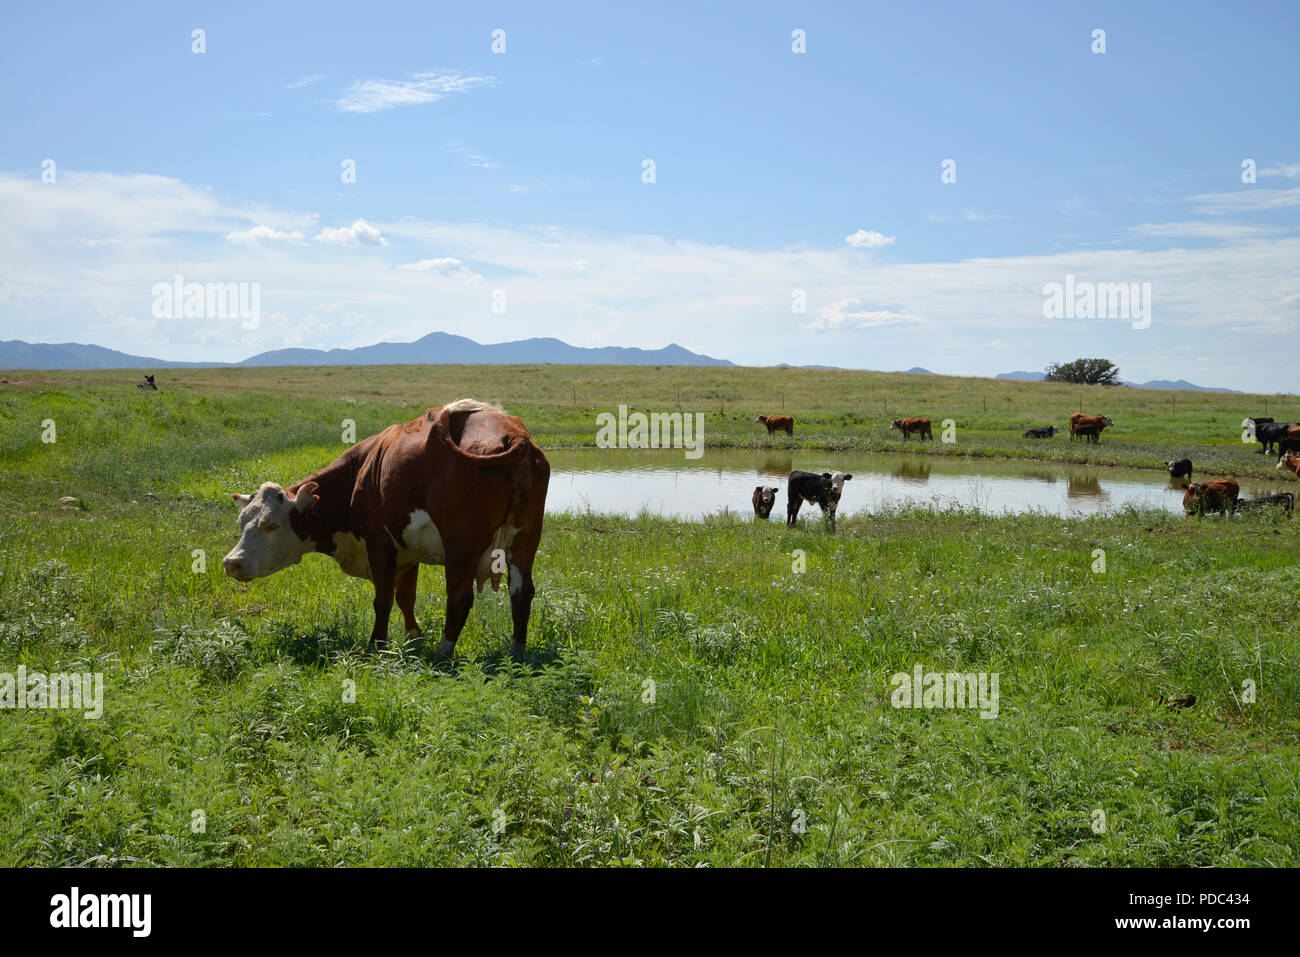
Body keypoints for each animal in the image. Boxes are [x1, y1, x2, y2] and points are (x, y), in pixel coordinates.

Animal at [223, 399, 549, 658]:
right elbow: (406, 597)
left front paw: (376, 646)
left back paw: (442, 653)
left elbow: (383, 600)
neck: (359, 473)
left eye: (270, 525)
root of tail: (512, 433)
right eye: (242, 523)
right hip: (526, 540)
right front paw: (413, 638)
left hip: (461, 546)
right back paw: (517, 652)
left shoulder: (379, 543)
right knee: (521, 593)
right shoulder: (408, 551)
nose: (231, 563)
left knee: (459, 598)